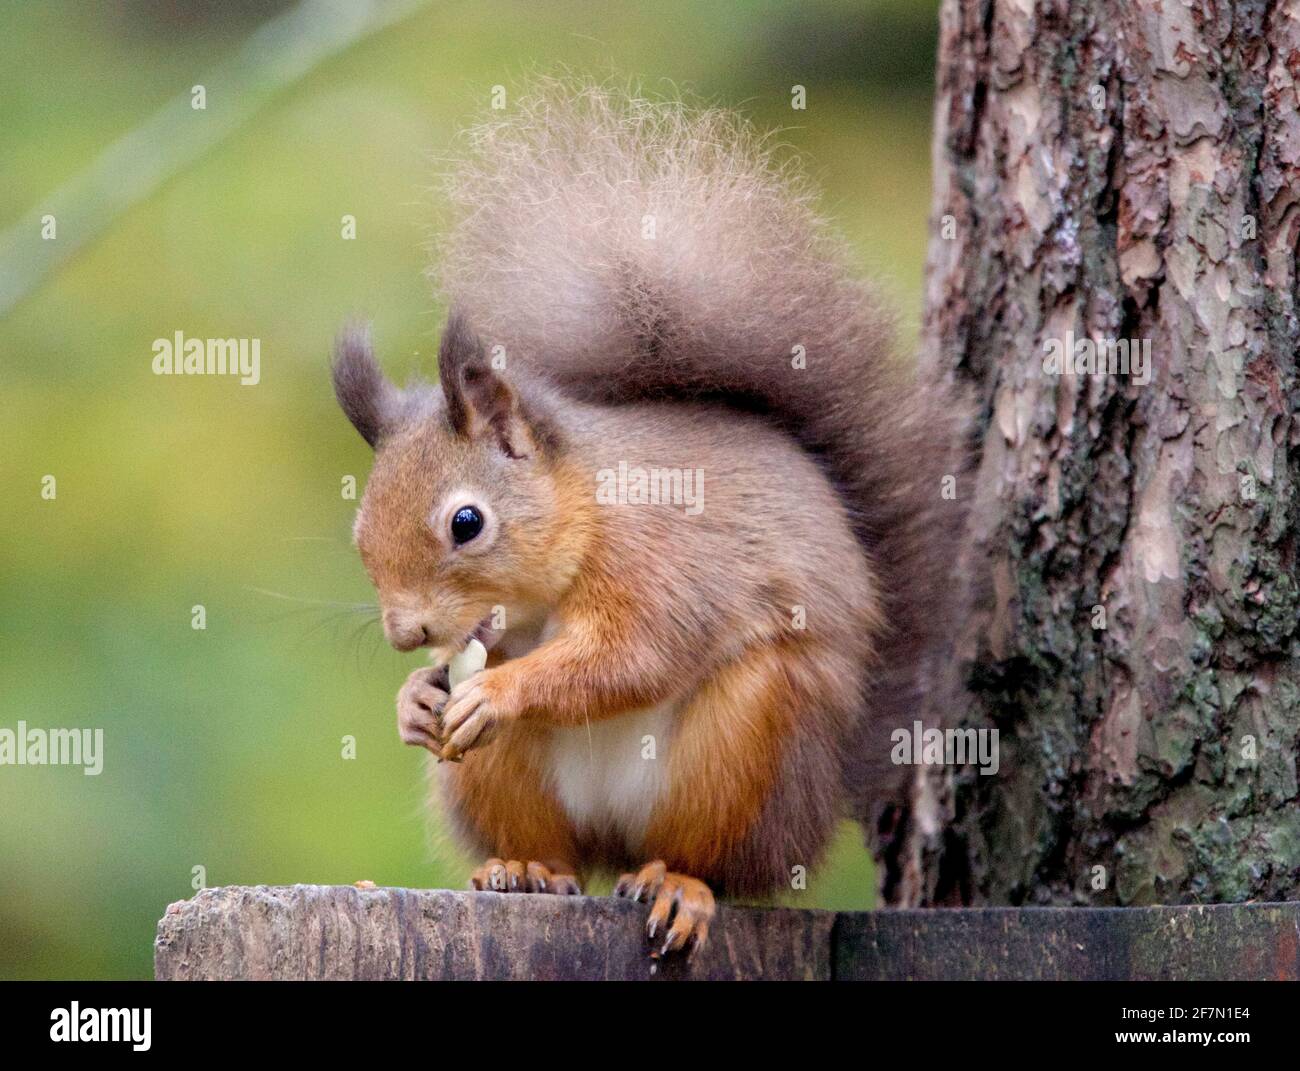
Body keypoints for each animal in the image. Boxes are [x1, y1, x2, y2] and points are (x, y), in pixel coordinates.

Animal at [332, 82, 964, 955]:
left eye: (466, 522)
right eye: (359, 538)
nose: (405, 633)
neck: (583, 516)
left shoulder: (659, 563)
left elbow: (634, 656)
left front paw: (500, 690)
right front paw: (415, 699)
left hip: (754, 745)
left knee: (714, 859)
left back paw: (678, 885)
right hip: (504, 782)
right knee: (557, 853)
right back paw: (524, 868)